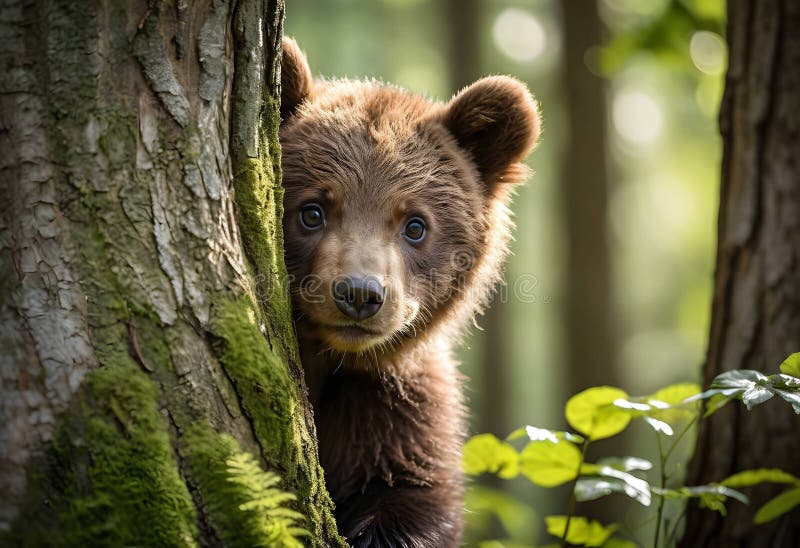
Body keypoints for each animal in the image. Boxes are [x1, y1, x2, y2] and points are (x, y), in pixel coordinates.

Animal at [279, 37, 541, 547]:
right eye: (312, 210)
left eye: (415, 224)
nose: (359, 293)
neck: (329, 357)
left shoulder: (393, 408)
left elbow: (411, 494)